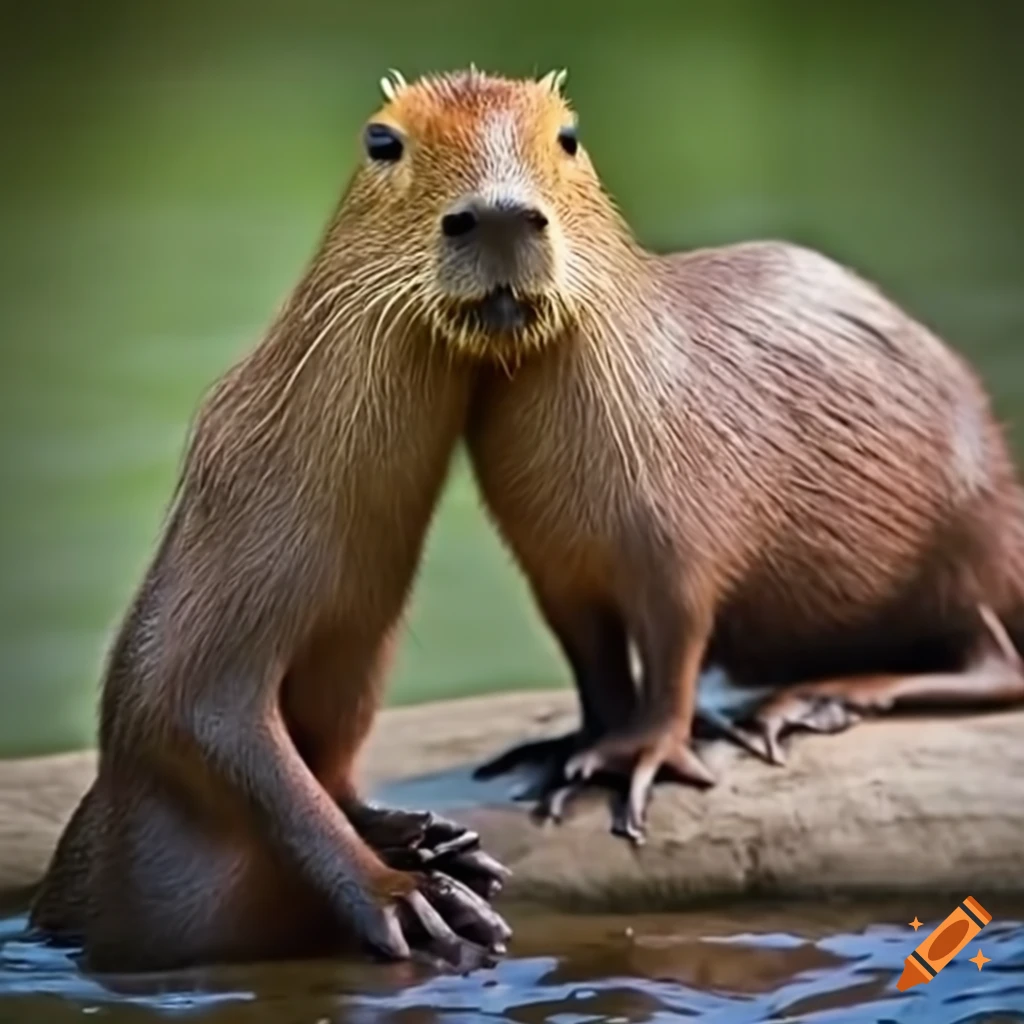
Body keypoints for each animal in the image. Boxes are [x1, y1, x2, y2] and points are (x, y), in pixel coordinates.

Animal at [29, 69, 516, 972]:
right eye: (384, 139)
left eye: (564, 137)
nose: (499, 212)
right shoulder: (212, 625)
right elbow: (215, 731)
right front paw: (407, 897)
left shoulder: (356, 638)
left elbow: (322, 765)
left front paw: (427, 848)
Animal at [355, 69, 1024, 842]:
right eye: (385, 140)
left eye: (567, 134)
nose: (498, 214)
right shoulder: (551, 567)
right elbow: (595, 666)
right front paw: (571, 748)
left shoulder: (685, 535)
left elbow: (674, 650)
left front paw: (636, 757)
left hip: (969, 527)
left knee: (996, 662)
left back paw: (815, 699)